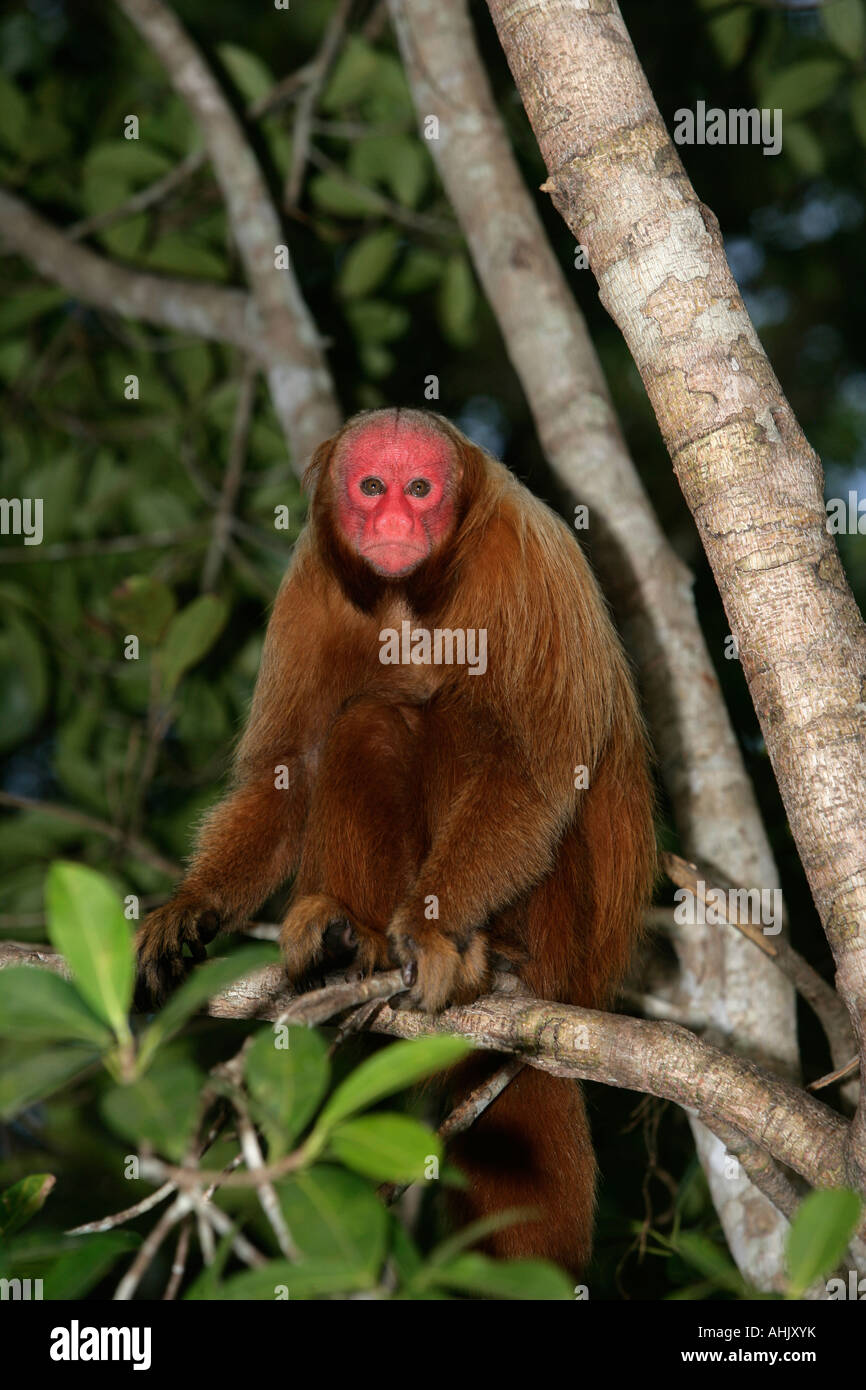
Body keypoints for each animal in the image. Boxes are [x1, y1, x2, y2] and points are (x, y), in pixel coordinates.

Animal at [136, 407, 656, 1274]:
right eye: (372, 486)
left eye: (420, 489)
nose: (393, 525)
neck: (410, 594)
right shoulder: (312, 585)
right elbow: (290, 772)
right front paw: (195, 903)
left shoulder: (528, 561)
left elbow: (540, 774)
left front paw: (436, 933)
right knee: (370, 725)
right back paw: (351, 934)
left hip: (565, 931)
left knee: (466, 720)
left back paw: (485, 959)